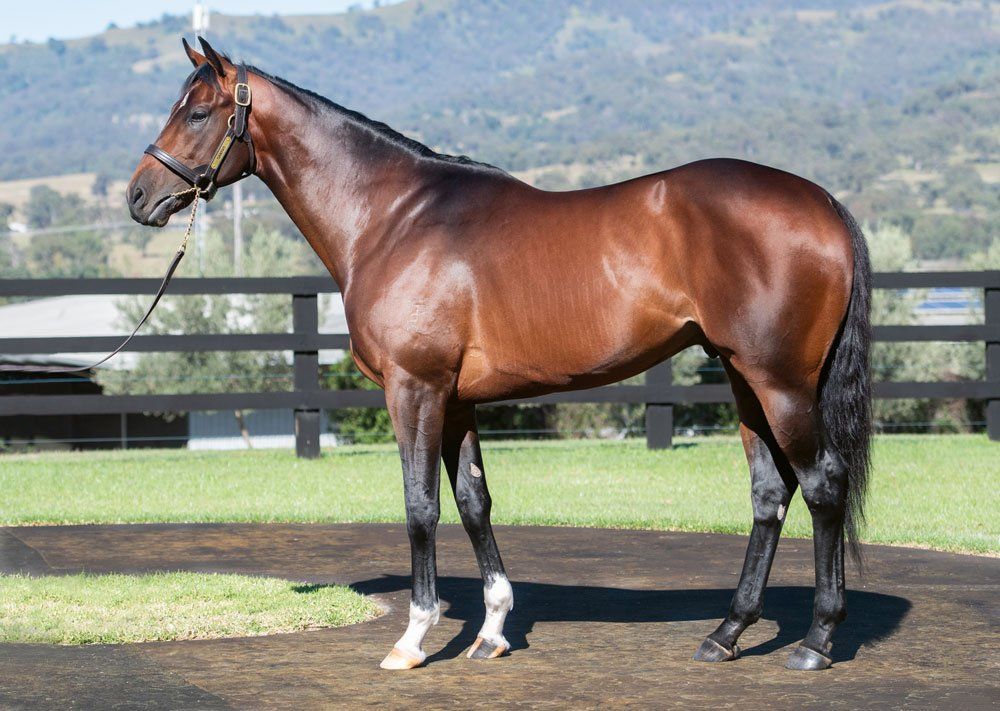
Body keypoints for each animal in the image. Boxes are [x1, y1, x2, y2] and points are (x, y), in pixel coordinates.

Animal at [127, 38, 872, 672]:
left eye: (197, 111)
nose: (138, 196)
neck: (392, 216)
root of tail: (823, 204)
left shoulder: (415, 389)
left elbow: (421, 506)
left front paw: (413, 637)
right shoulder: (457, 400)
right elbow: (474, 501)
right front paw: (490, 631)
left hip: (781, 383)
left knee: (823, 485)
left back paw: (816, 641)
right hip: (744, 380)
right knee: (769, 493)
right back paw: (726, 634)